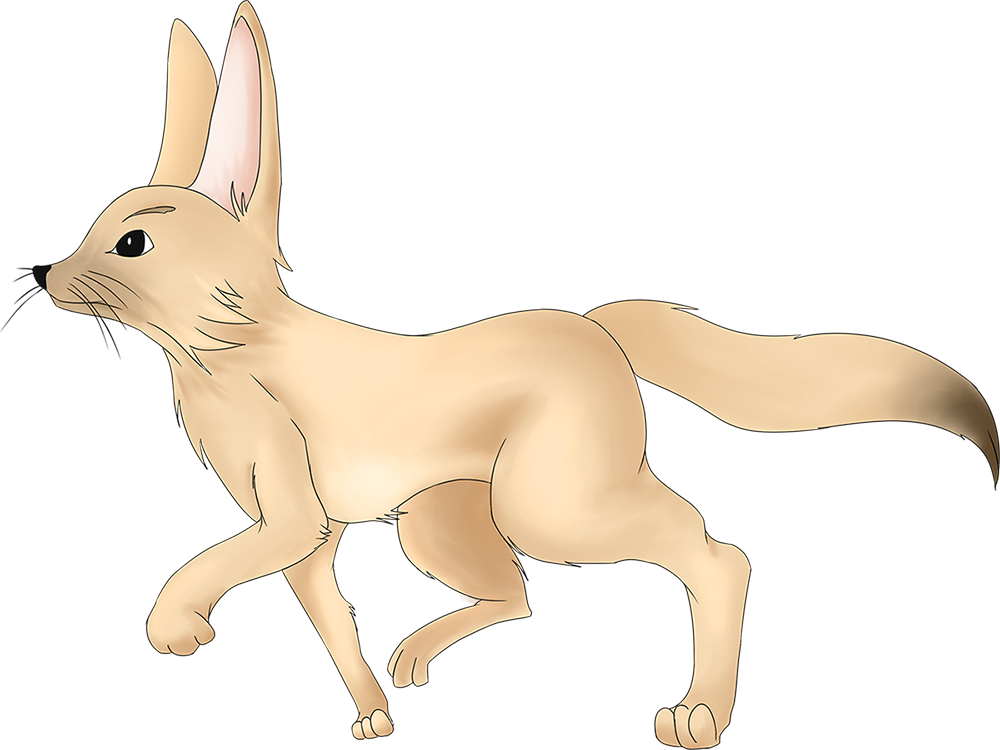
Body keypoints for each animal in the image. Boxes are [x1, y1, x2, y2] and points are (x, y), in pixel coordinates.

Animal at [33, 4, 997, 747]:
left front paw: (175, 626)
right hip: (436, 518)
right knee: (522, 598)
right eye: (95, 234)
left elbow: (205, 564)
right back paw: (421, 651)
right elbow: (332, 624)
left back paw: (699, 714)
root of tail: (596, 329)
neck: (228, 349)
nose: (47, 278)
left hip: (551, 506)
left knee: (715, 556)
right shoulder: (309, 541)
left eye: (130, 243)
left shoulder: (293, 520)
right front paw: (372, 717)